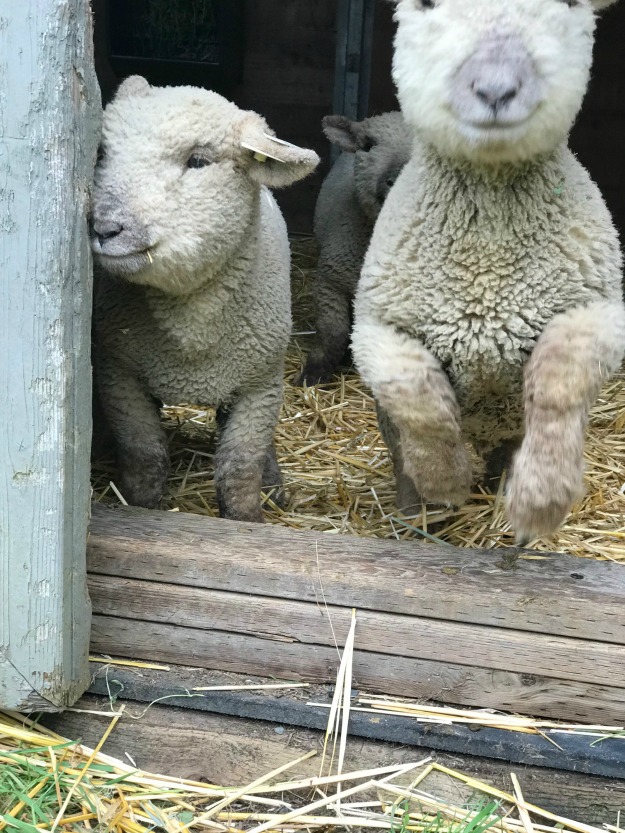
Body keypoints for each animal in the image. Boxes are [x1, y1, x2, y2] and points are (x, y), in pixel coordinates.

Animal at [91, 76, 319, 521]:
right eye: (103, 154)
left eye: (198, 161)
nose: (103, 228)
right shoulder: (119, 375)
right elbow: (145, 455)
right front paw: (141, 507)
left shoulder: (260, 386)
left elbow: (240, 469)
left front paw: (248, 520)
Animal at [351, 0, 625, 543]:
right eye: (425, 6)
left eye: (569, 6)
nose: (495, 89)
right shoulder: (377, 328)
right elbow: (418, 396)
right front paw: (445, 480)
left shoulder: (597, 311)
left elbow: (559, 381)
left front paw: (542, 497)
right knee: (403, 457)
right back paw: (418, 513)